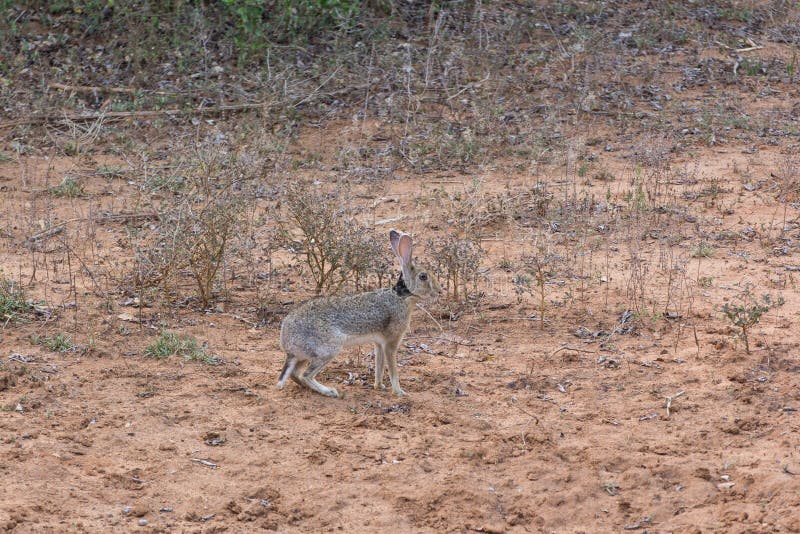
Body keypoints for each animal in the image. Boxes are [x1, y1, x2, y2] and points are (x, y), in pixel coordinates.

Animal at [277, 229, 439, 398]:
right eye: (423, 276)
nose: (439, 291)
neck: (401, 296)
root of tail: (287, 342)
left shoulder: (379, 343)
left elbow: (379, 365)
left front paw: (379, 386)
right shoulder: (390, 342)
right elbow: (392, 370)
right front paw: (399, 392)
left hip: (305, 355)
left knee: (295, 374)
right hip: (328, 349)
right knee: (306, 375)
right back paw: (330, 391)